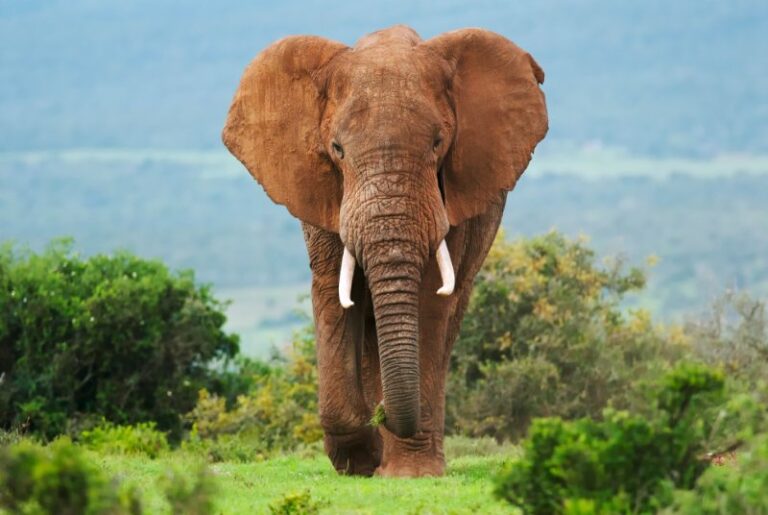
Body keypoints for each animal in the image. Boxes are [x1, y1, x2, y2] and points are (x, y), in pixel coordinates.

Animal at [222, 25, 547, 477]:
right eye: (337, 149)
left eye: (438, 144)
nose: (383, 417)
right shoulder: (324, 192)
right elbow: (334, 290)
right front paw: (360, 460)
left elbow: (430, 299)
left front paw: (408, 472)